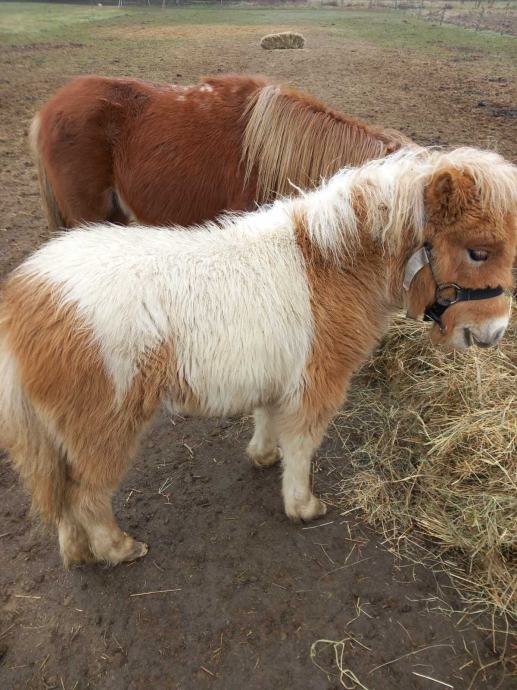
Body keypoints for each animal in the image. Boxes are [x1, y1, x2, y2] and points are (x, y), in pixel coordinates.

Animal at [1, 147, 515, 568]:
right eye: (477, 251)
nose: (494, 333)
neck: (328, 265)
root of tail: (24, 299)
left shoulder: (279, 378)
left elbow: (268, 421)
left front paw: (264, 457)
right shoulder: (317, 384)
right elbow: (303, 444)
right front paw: (302, 505)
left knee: (60, 497)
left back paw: (76, 553)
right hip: (103, 430)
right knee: (86, 497)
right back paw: (118, 549)